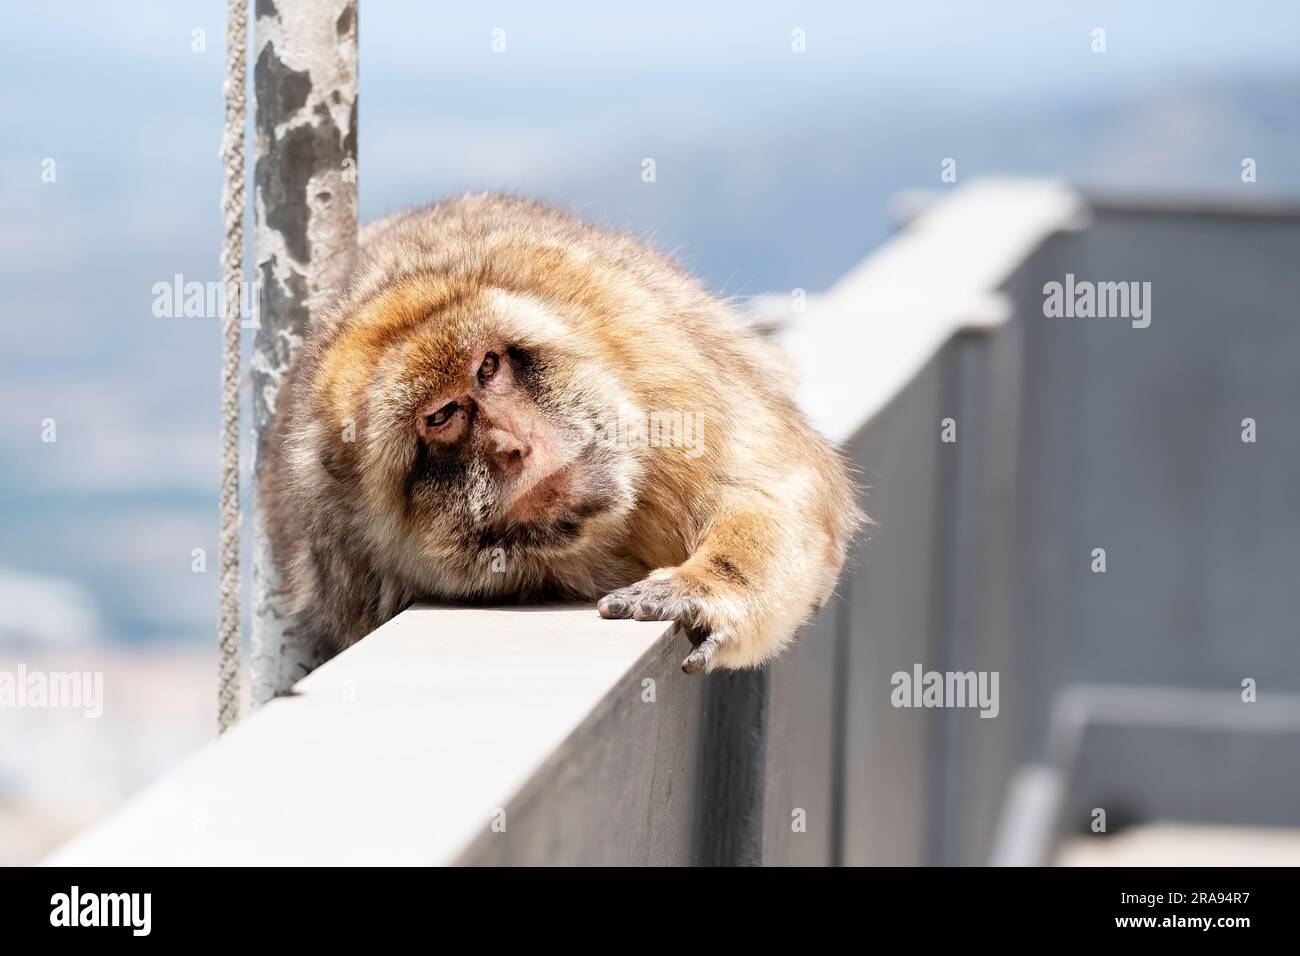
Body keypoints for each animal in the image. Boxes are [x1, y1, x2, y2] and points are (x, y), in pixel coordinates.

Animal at [260, 195, 863, 671]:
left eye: (488, 368)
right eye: (442, 416)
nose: (513, 444)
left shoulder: (657, 367)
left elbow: (778, 483)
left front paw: (705, 589)